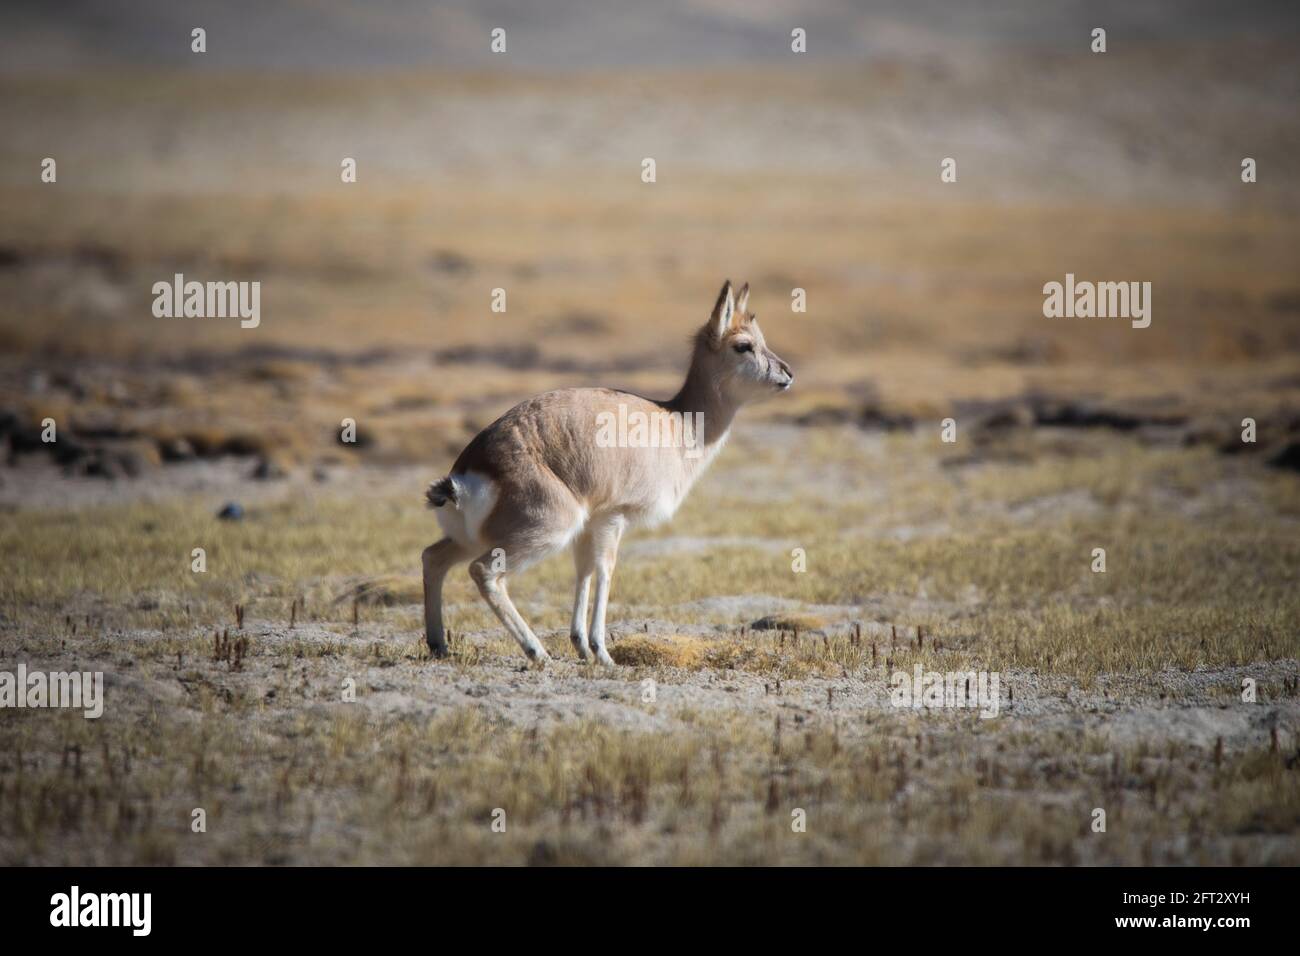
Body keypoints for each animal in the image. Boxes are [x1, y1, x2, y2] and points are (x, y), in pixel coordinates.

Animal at [422, 280, 793, 665]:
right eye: (743, 345)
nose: (787, 375)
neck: (677, 424)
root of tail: (466, 471)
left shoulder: (590, 525)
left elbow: (583, 571)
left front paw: (582, 647)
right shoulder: (613, 518)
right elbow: (605, 571)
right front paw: (602, 652)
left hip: (474, 538)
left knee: (432, 557)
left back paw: (439, 644)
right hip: (542, 533)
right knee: (483, 572)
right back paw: (537, 651)